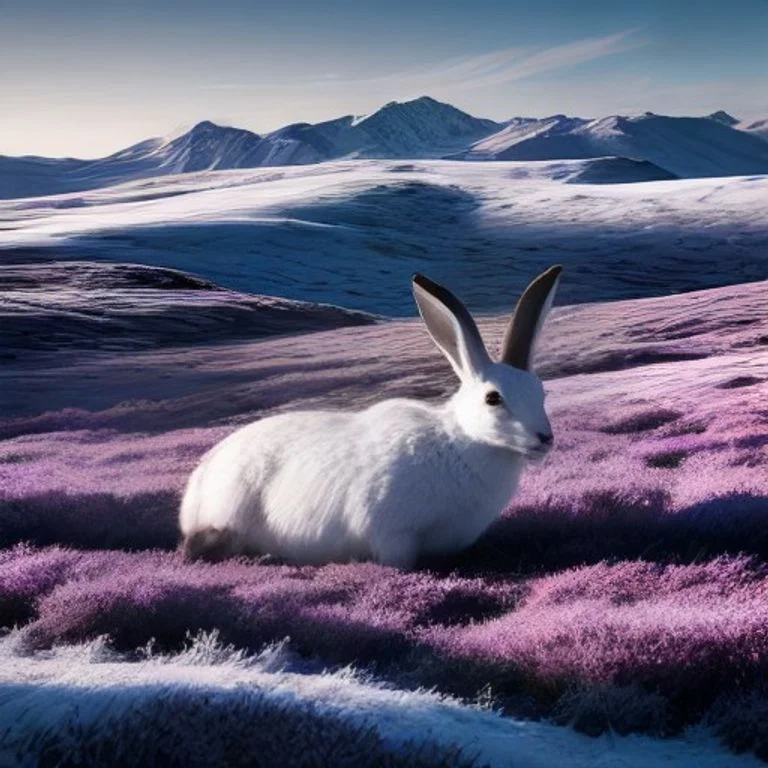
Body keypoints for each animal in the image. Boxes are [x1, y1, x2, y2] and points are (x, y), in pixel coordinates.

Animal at [180, 265, 562, 568]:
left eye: (541, 392)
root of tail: (198, 481)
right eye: (493, 398)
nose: (545, 438)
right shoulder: (392, 532)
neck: (463, 441)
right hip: (232, 507)